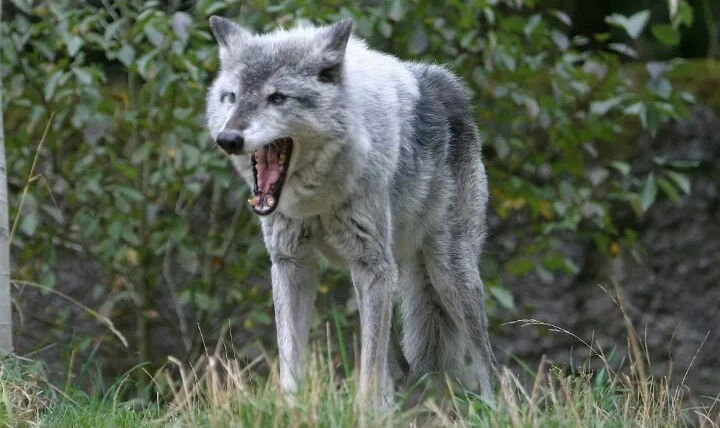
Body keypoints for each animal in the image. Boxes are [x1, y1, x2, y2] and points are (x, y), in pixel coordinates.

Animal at [205, 16, 496, 408]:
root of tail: (450, 87)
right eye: (231, 97)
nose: (228, 139)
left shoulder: (371, 265)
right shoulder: (290, 263)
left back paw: (498, 409)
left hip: (447, 274)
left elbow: (369, 368)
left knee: (487, 360)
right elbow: (290, 355)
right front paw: (292, 409)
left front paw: (366, 412)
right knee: (398, 366)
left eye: (277, 97)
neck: (318, 198)